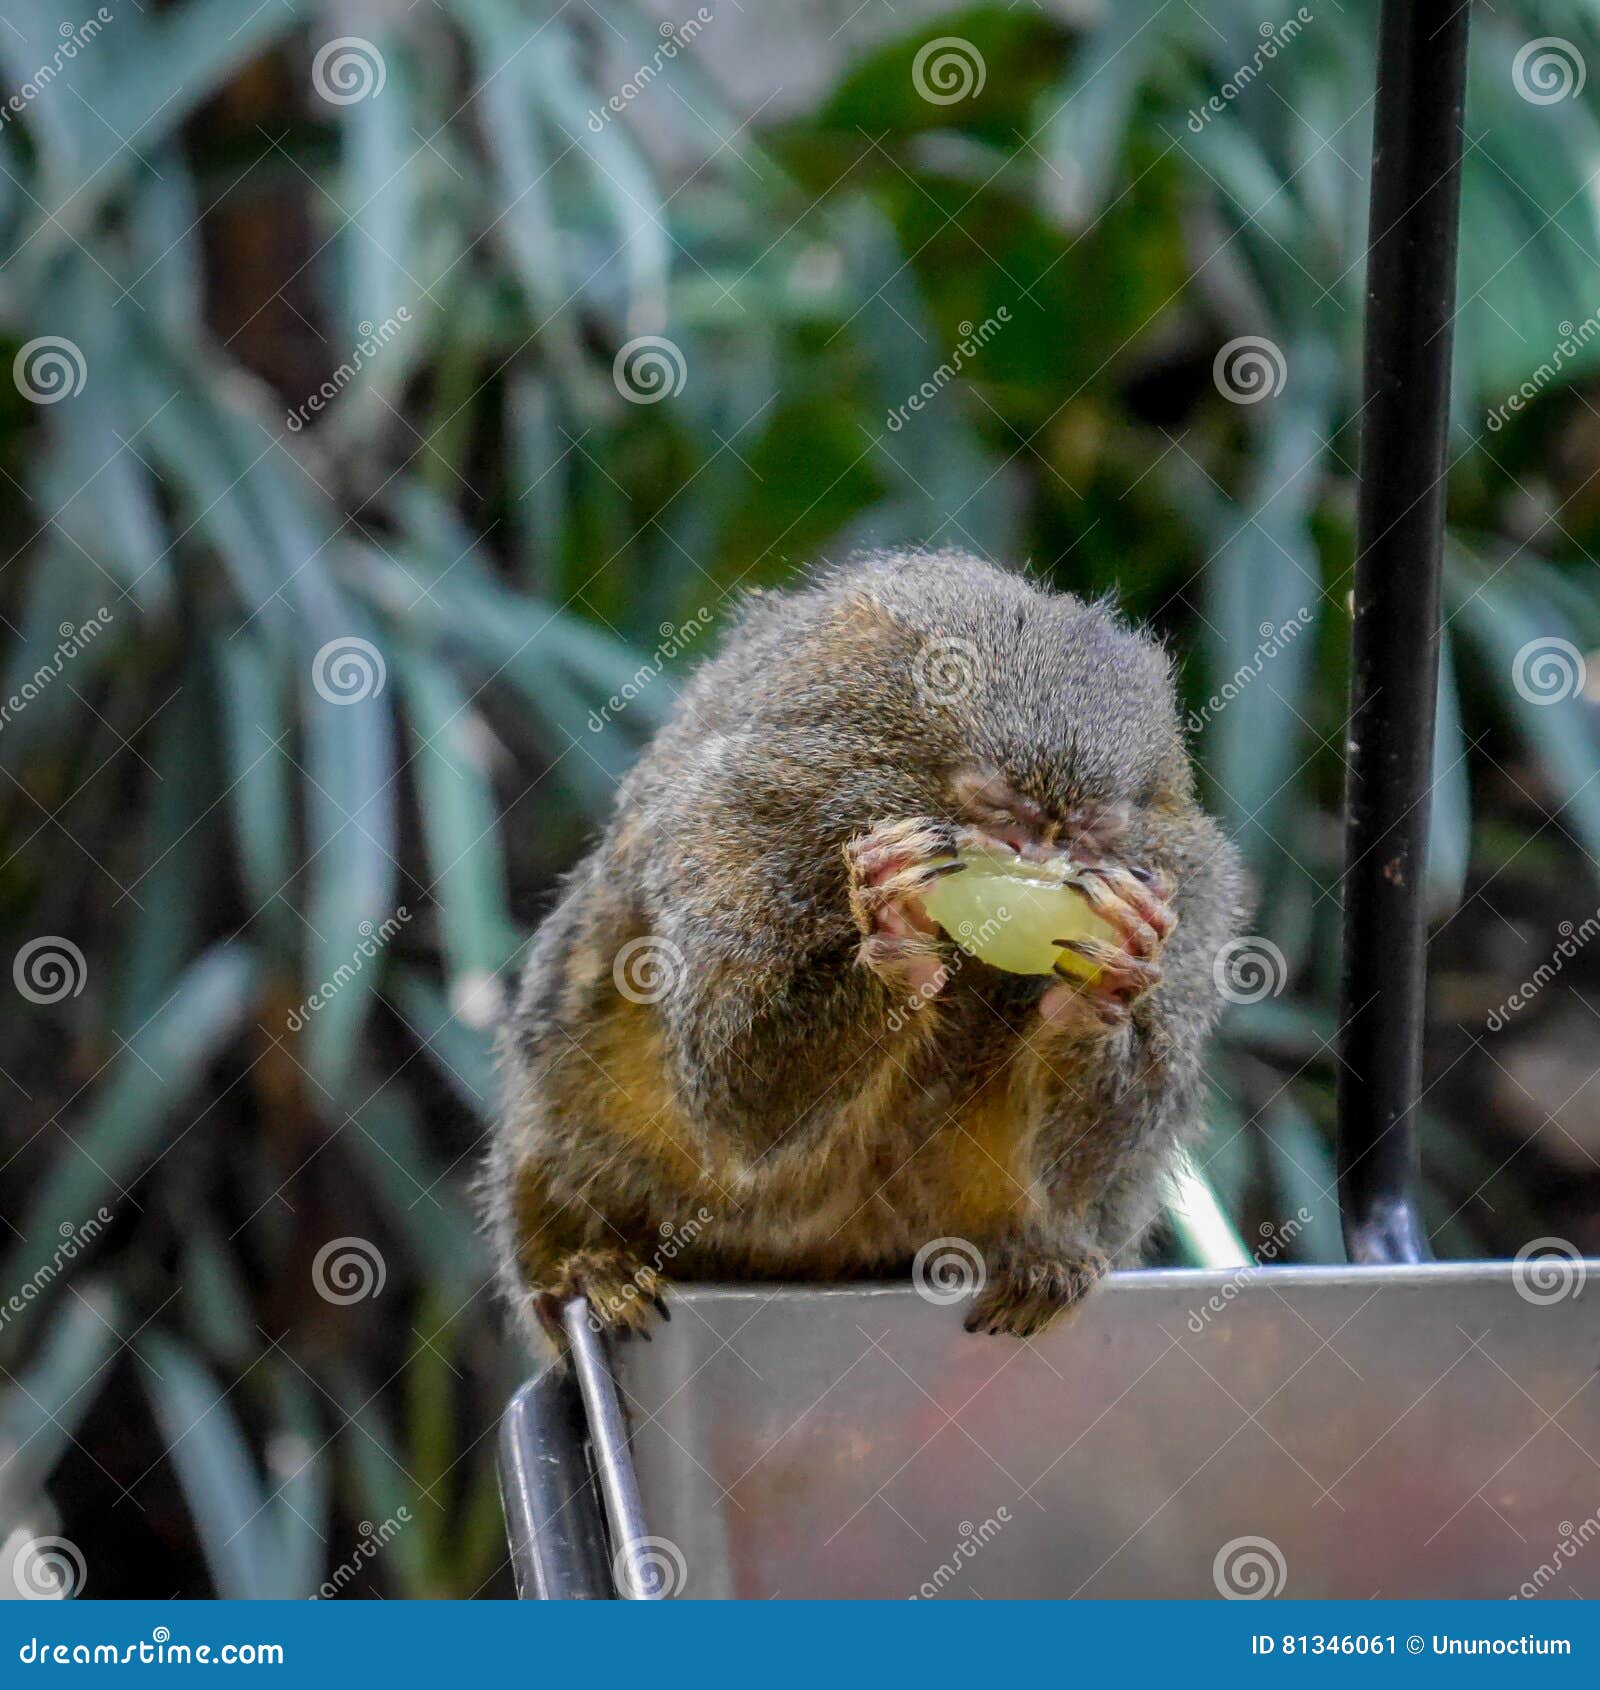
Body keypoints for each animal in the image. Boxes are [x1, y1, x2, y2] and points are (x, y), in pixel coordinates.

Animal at [486, 549, 1249, 1353]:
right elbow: (739, 1093)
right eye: (999, 811)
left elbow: (1090, 1170)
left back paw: (1037, 1258)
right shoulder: (739, 817)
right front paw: (893, 931)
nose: (1037, 860)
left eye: (1085, 832)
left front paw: (1104, 981)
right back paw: (588, 1269)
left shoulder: (1195, 901)